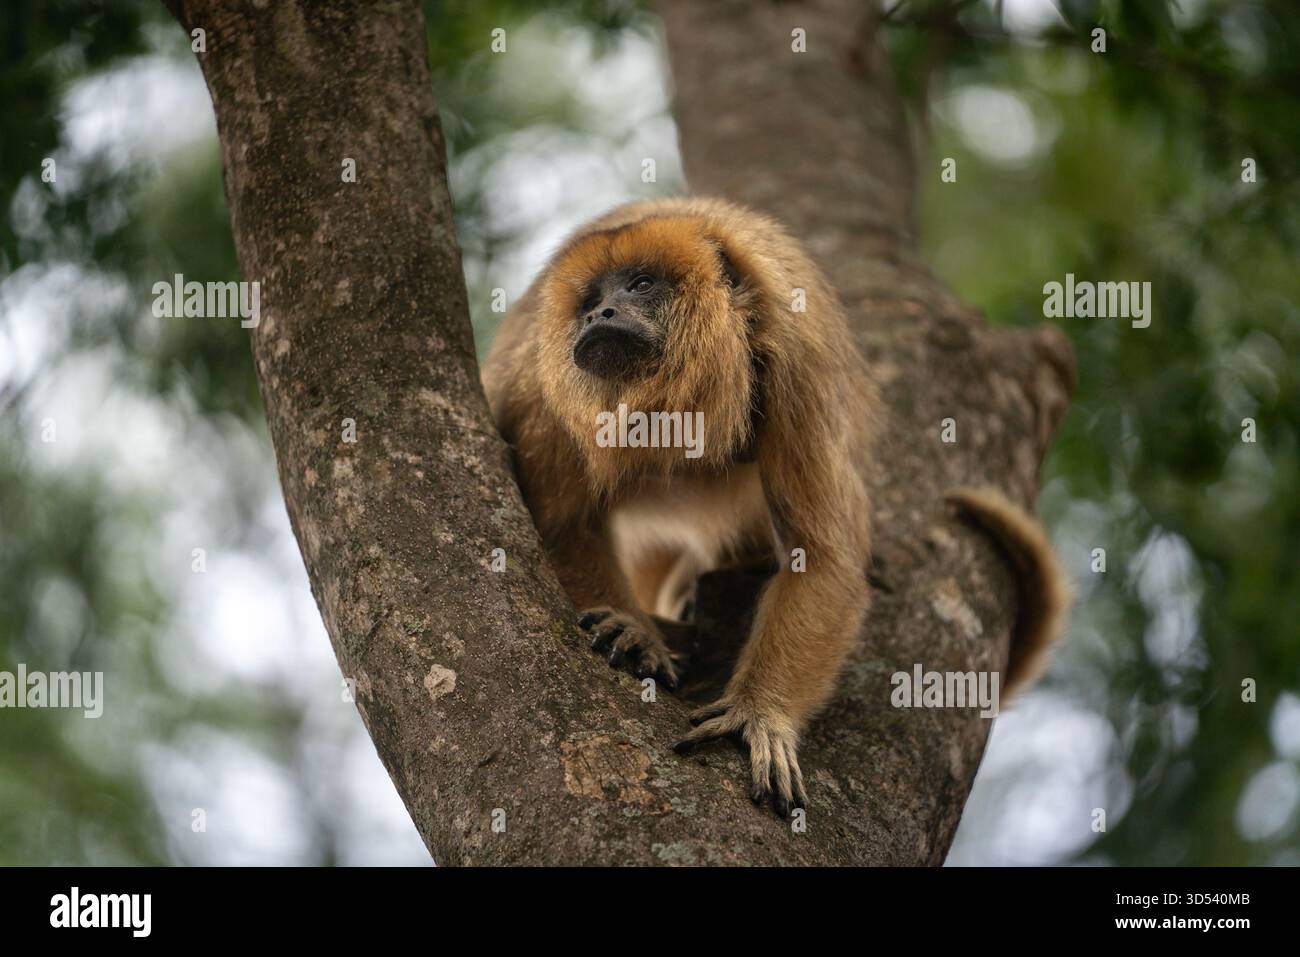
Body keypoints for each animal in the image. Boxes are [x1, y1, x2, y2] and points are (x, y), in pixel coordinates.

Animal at [481, 196, 1070, 816]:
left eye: (641, 285)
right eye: (590, 300)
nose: (599, 315)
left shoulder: (797, 365)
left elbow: (821, 555)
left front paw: (761, 713)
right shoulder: (537, 392)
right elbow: (562, 525)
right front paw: (634, 629)